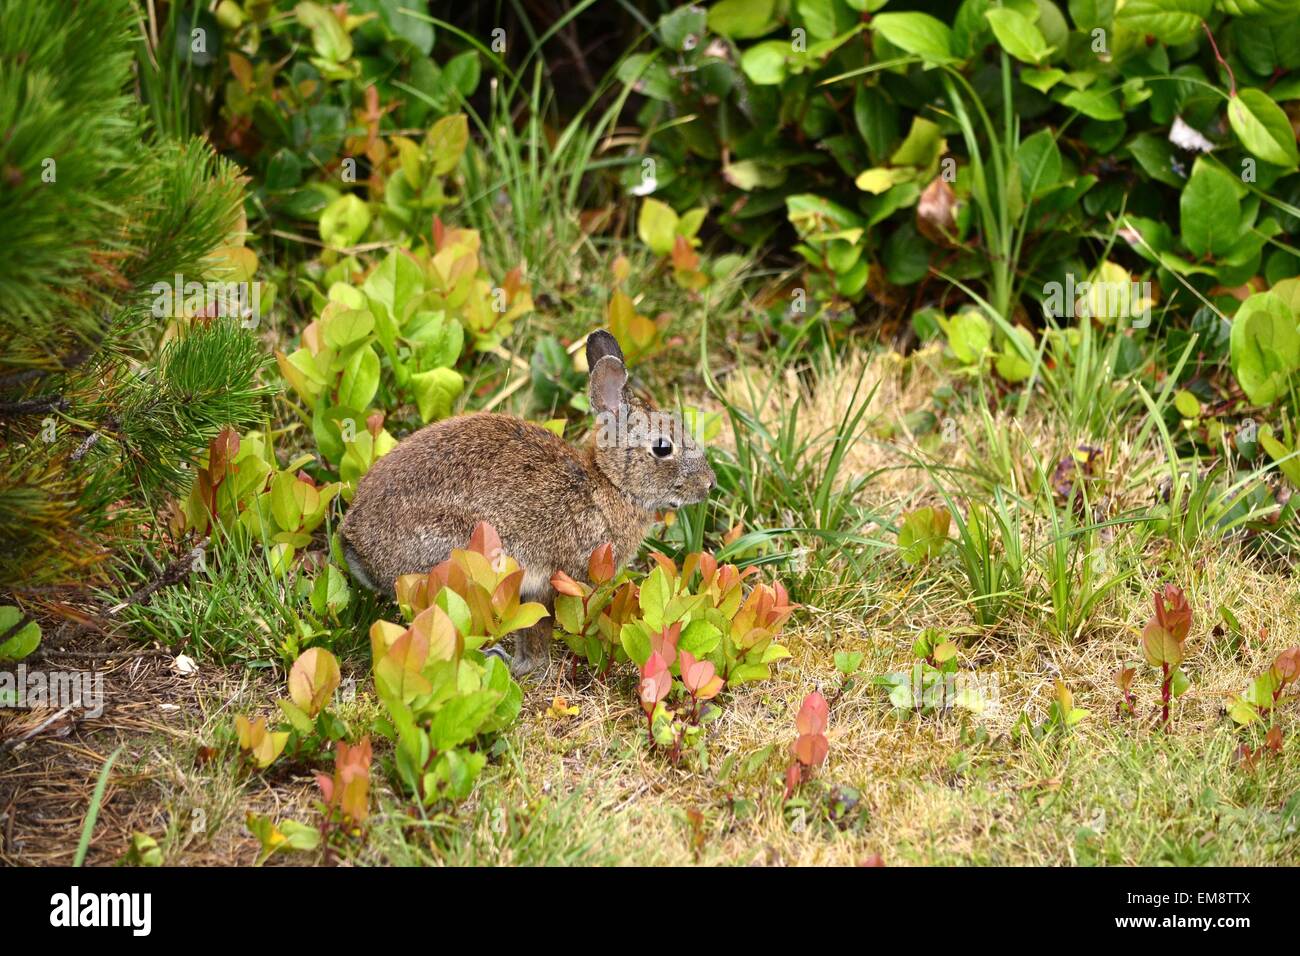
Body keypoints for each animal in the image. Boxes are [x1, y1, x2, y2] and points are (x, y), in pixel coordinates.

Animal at [340, 329, 716, 675]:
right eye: (663, 448)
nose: (709, 484)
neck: (607, 483)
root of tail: (354, 545)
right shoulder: (553, 578)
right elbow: (537, 627)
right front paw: (529, 668)